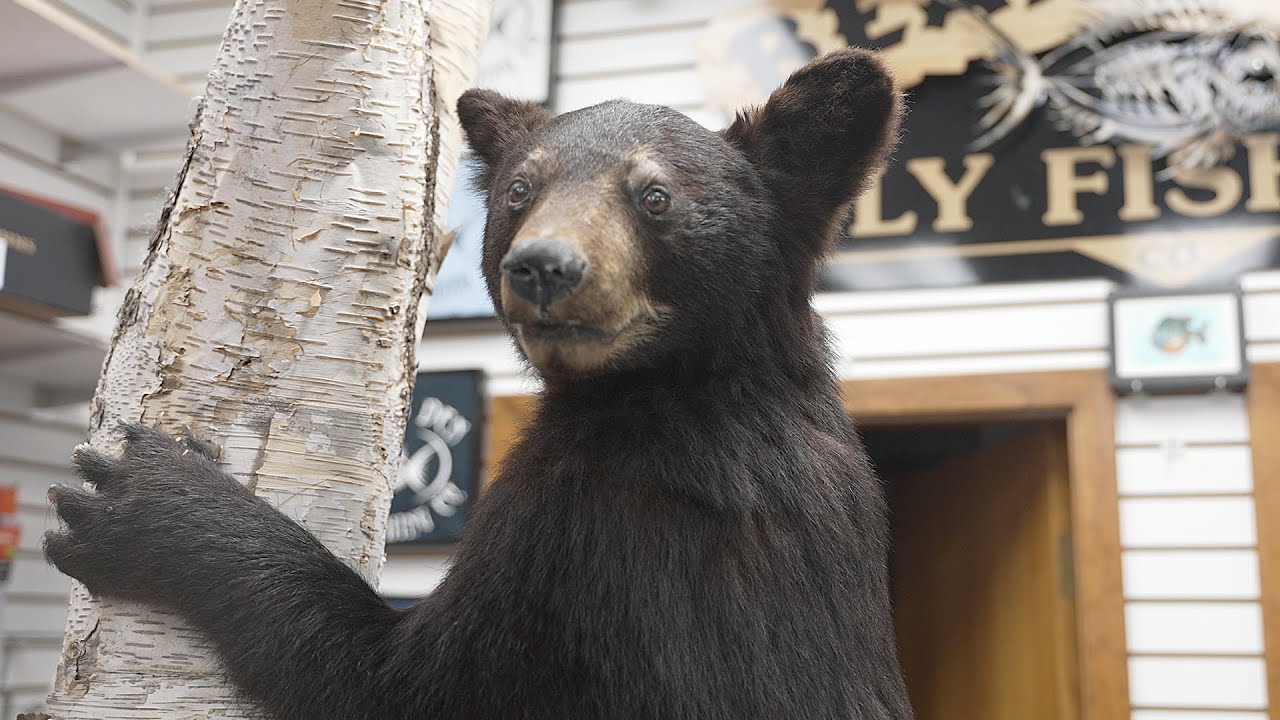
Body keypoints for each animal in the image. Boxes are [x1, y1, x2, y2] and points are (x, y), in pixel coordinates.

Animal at [45, 47, 911, 720]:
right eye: (522, 189)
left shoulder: (606, 538)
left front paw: (147, 498)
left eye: (654, 195)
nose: (543, 267)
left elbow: (406, 682)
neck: (683, 388)